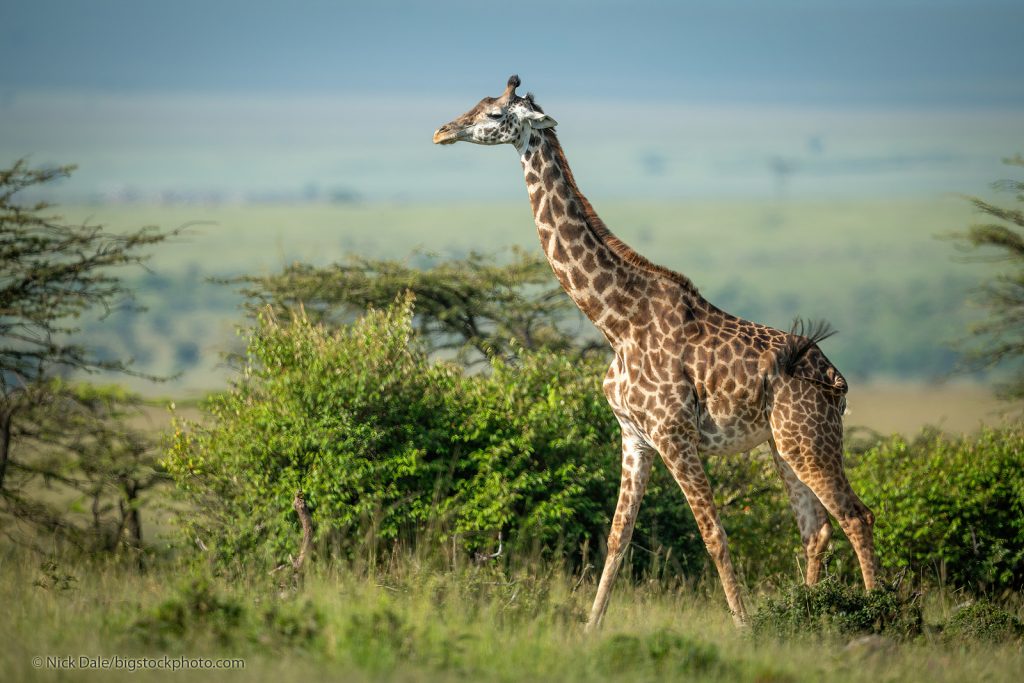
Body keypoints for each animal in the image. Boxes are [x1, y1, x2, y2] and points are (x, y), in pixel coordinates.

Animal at [433, 75, 878, 628]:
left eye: (495, 114)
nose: (442, 131)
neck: (615, 321)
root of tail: (837, 379)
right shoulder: (634, 436)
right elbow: (617, 537)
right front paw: (590, 628)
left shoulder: (674, 434)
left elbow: (714, 535)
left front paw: (744, 627)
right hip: (784, 444)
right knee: (815, 528)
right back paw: (807, 614)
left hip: (810, 438)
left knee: (857, 516)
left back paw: (883, 610)